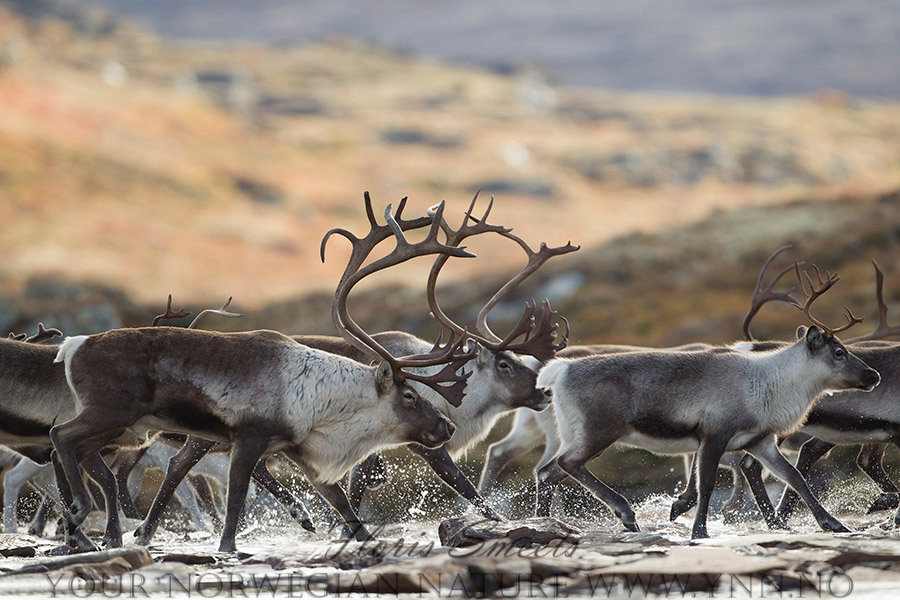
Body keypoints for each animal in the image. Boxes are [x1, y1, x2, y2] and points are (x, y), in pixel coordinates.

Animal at [51, 199, 478, 552]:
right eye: (409, 396)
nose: (447, 426)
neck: (322, 401)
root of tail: (72, 346)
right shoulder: (248, 437)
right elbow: (235, 504)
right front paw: (228, 547)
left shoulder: (299, 449)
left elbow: (341, 503)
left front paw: (365, 539)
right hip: (112, 412)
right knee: (61, 435)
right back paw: (78, 514)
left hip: (125, 427)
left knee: (79, 451)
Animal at [534, 260, 880, 539]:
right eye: (839, 352)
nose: (874, 376)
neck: (770, 384)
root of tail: (559, 370)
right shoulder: (714, 434)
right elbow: (708, 484)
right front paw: (699, 532)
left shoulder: (760, 441)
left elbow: (796, 478)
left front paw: (834, 524)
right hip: (599, 431)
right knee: (567, 464)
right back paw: (626, 514)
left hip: (573, 434)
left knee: (547, 472)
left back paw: (546, 521)